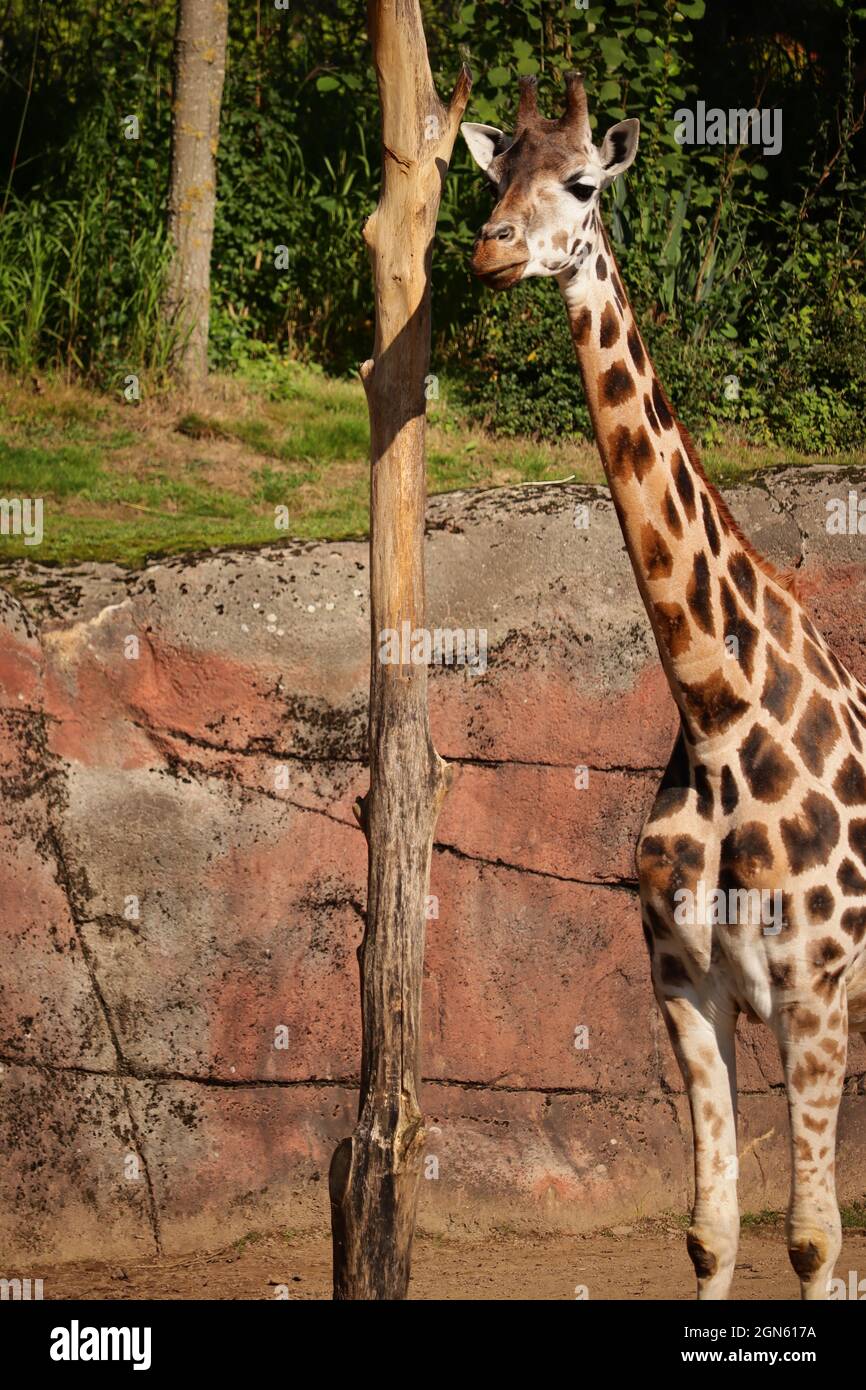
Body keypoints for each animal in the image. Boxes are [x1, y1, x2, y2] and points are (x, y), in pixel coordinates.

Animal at [461, 72, 866, 1300]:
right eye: (493, 174)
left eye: (584, 182)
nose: (490, 249)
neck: (716, 705)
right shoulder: (685, 982)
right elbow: (714, 1227)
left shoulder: (813, 985)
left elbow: (813, 1236)